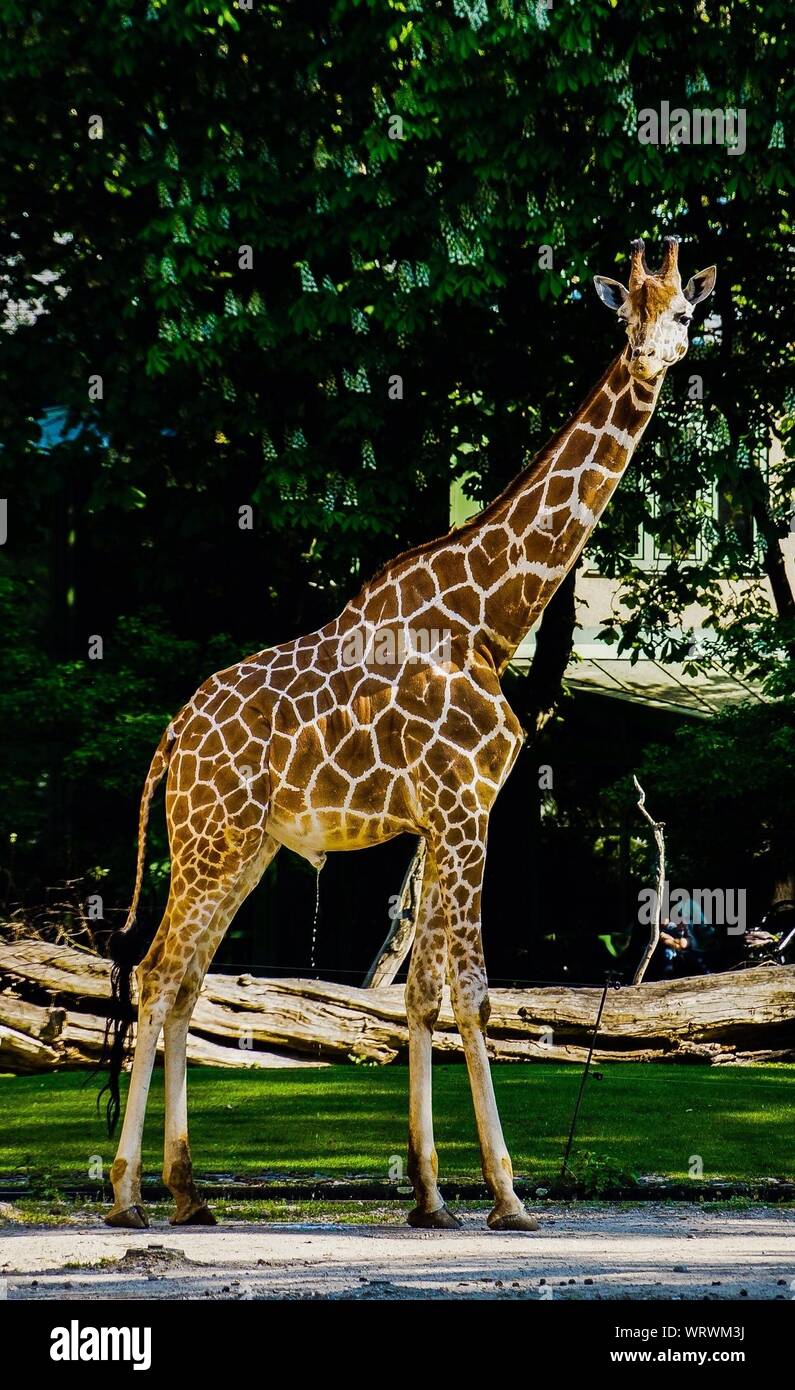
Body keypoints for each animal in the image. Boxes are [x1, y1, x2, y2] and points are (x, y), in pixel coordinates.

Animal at [103, 236, 715, 1232]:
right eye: (626, 311)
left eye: (685, 311)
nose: (650, 356)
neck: (492, 615)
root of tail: (173, 735)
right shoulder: (467, 807)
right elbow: (469, 991)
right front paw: (507, 1197)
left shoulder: (439, 818)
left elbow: (422, 992)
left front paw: (430, 1196)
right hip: (210, 838)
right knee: (159, 974)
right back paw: (126, 1196)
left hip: (244, 847)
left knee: (186, 978)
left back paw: (188, 1194)